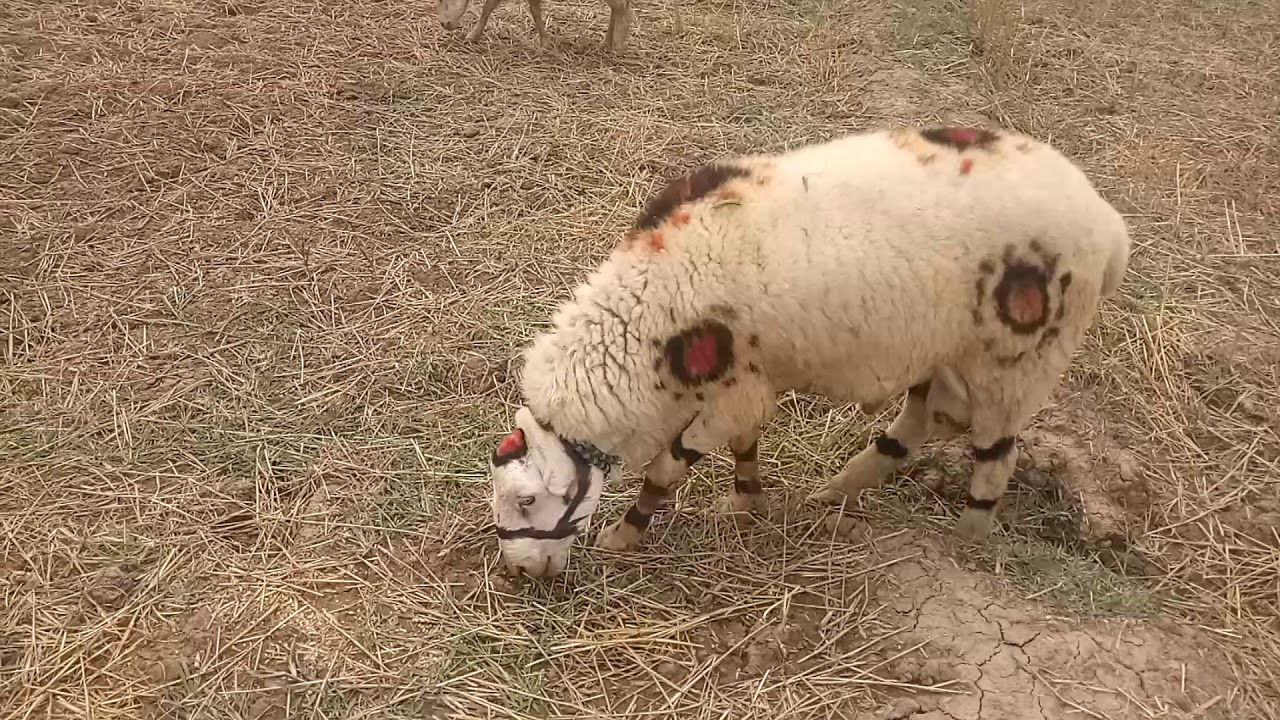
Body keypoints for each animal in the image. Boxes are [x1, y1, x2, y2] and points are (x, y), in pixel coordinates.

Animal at [437, 0, 633, 51]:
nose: (444, 24)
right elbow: (535, 11)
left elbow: (488, 7)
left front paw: (472, 36)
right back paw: (607, 43)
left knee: (621, 6)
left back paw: (618, 44)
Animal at [487, 125, 1131, 579]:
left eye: (526, 499)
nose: (521, 574)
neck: (644, 329)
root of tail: (1111, 227)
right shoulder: (748, 381)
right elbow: (745, 444)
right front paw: (746, 503)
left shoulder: (730, 389)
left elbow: (668, 467)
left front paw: (624, 536)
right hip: (940, 347)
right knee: (921, 423)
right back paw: (837, 491)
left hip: (1019, 359)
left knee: (997, 454)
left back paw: (967, 538)